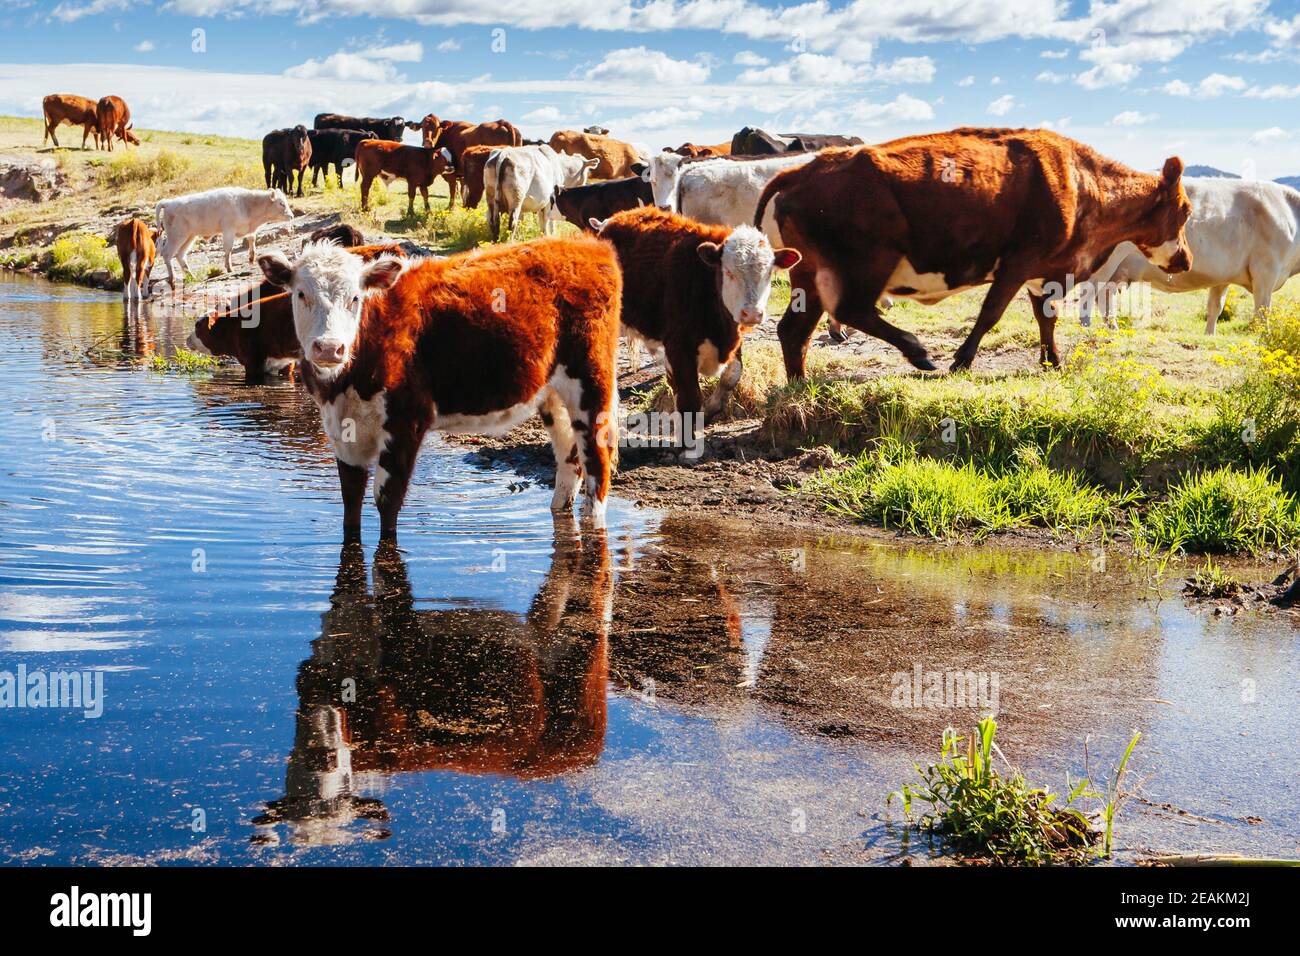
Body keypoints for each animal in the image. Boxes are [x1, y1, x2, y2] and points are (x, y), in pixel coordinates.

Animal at [155, 186, 295, 290]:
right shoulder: (228, 230)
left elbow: (252, 239)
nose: (292, 216)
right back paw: (172, 279)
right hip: (177, 236)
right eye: (281, 203)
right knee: (167, 254)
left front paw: (251, 257)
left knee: (180, 255)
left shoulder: (247, 230)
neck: (247, 204)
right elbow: (228, 249)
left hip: (189, 236)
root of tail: (168, 202)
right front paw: (229, 268)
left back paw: (192, 276)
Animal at [255, 236, 622, 538]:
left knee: (597, 458)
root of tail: (585, 244)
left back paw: (594, 522)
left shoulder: (407, 421)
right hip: (552, 391)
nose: (330, 348)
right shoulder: (343, 429)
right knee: (569, 454)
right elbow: (350, 504)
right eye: (301, 294)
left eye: (355, 298)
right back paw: (559, 509)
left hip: (592, 379)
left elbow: (387, 502)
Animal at [591, 206, 800, 422]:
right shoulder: (679, 347)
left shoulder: (733, 333)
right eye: (728, 272)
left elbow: (732, 375)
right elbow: (689, 403)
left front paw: (711, 409)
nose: (751, 313)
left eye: (768, 274)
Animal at [752, 128, 1193, 378]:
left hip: (807, 274)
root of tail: (802, 170)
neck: (1080, 181)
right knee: (850, 310)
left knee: (794, 330)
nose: (1185, 260)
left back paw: (800, 386)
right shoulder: (1018, 264)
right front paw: (961, 359)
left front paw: (1052, 360)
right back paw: (918, 352)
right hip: (865, 264)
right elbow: (991, 313)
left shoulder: (1045, 273)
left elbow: (1045, 317)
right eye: (1186, 210)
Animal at [1078, 177, 1300, 335]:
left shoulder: (1223, 276)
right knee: (1089, 291)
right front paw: (1263, 337)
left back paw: (1113, 329)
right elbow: (1263, 312)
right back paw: (1086, 329)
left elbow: (1215, 307)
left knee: (1104, 295)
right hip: (1104, 262)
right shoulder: (1266, 271)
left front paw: (1209, 335)